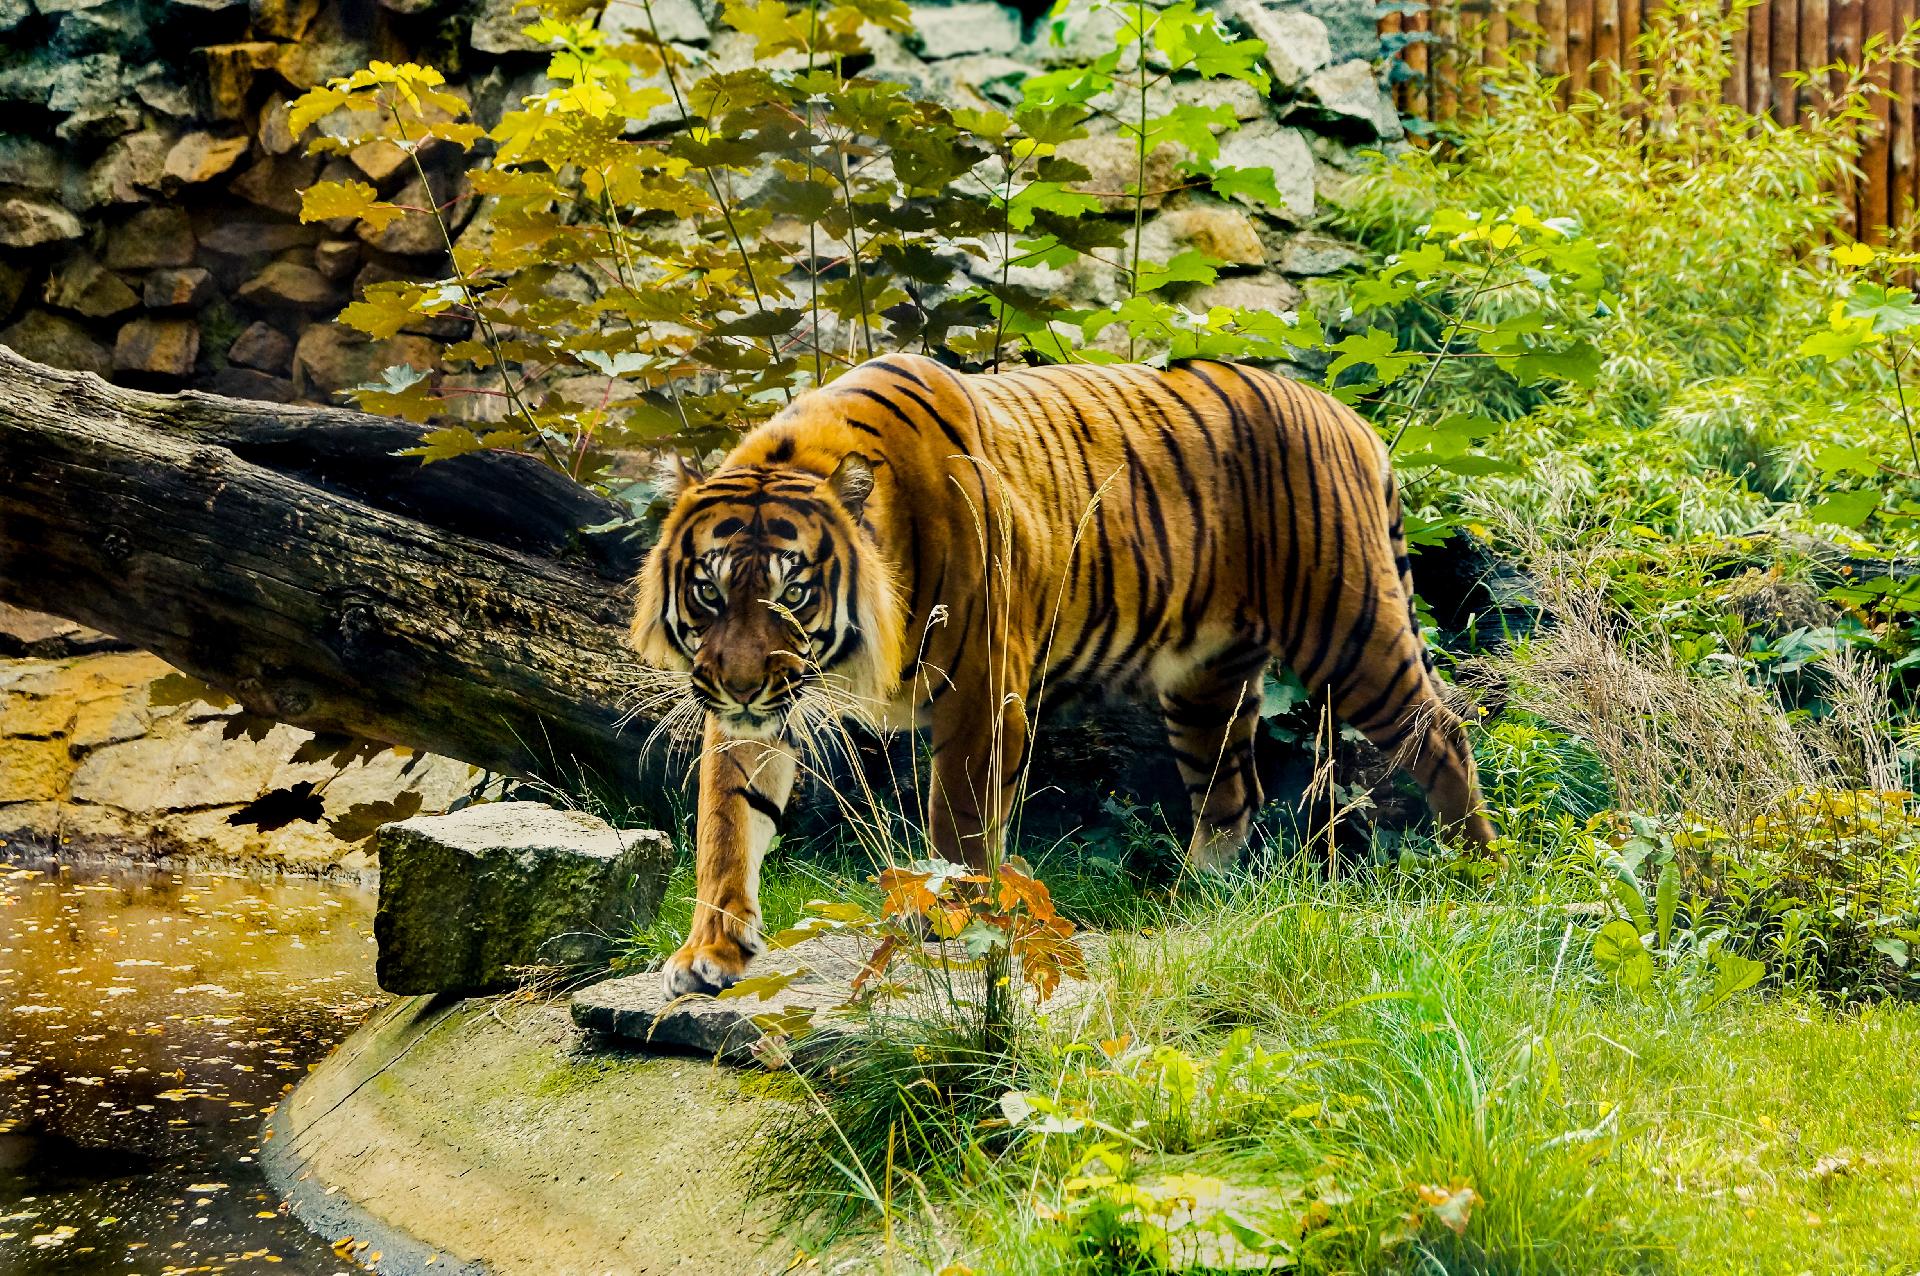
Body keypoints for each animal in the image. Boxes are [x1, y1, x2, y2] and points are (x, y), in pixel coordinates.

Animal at [631, 353, 1497, 995]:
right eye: (709, 591)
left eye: (793, 592)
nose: (740, 683)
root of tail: (1350, 418)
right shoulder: (758, 709)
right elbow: (726, 824)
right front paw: (709, 952)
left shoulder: (982, 691)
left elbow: (958, 818)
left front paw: (947, 915)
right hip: (1205, 682)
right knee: (1234, 792)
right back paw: (1193, 898)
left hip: (1348, 630)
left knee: (1442, 733)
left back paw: (1479, 871)